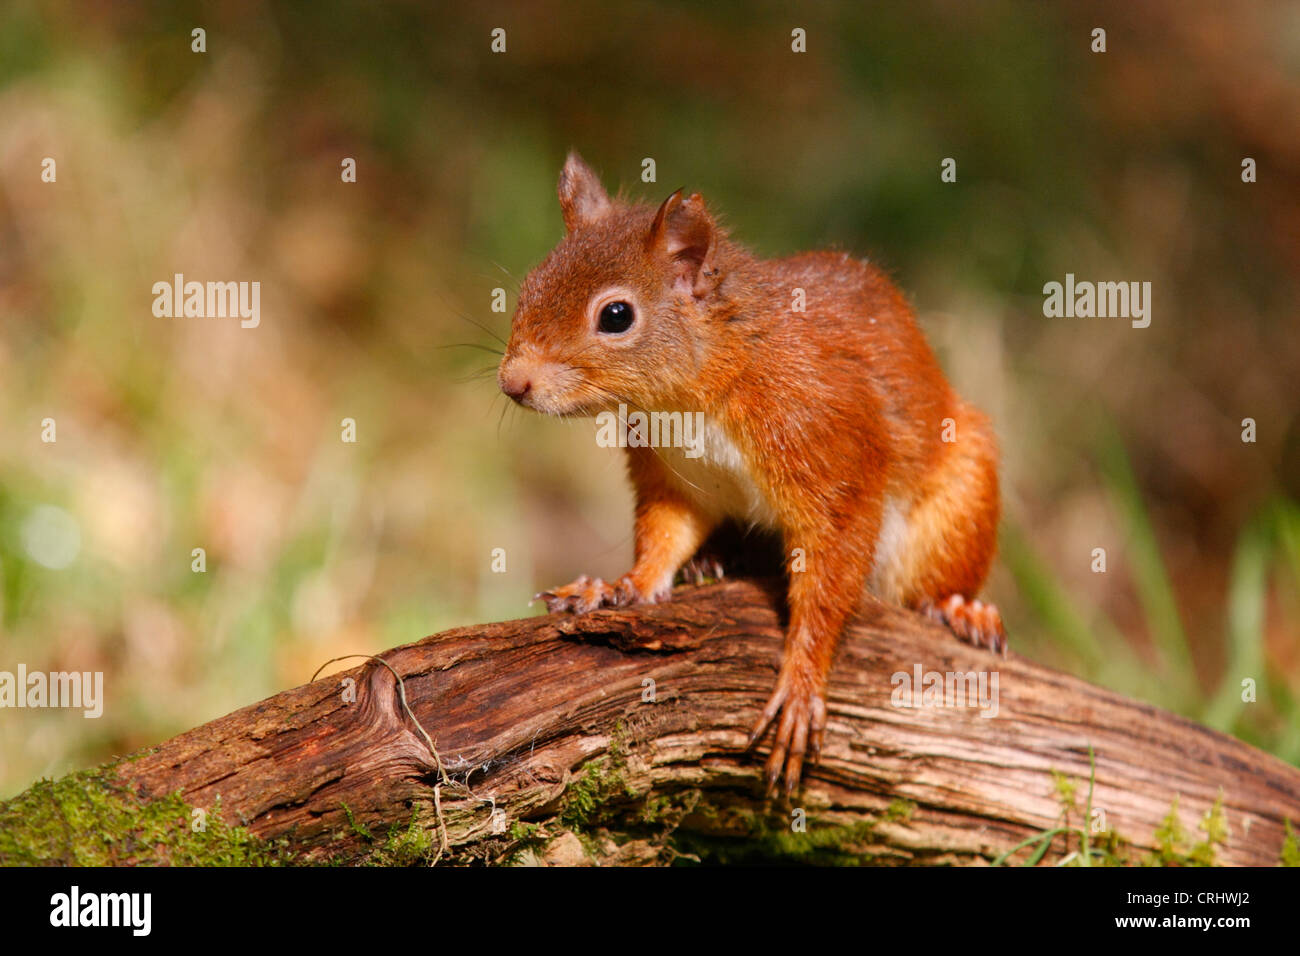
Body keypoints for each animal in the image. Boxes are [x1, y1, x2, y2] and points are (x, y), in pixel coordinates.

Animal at [498, 153, 1004, 796]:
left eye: (615, 316)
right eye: (529, 286)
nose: (513, 383)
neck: (702, 387)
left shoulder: (824, 443)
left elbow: (832, 564)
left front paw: (803, 683)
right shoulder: (676, 477)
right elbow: (664, 534)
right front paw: (618, 586)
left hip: (961, 492)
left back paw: (964, 611)